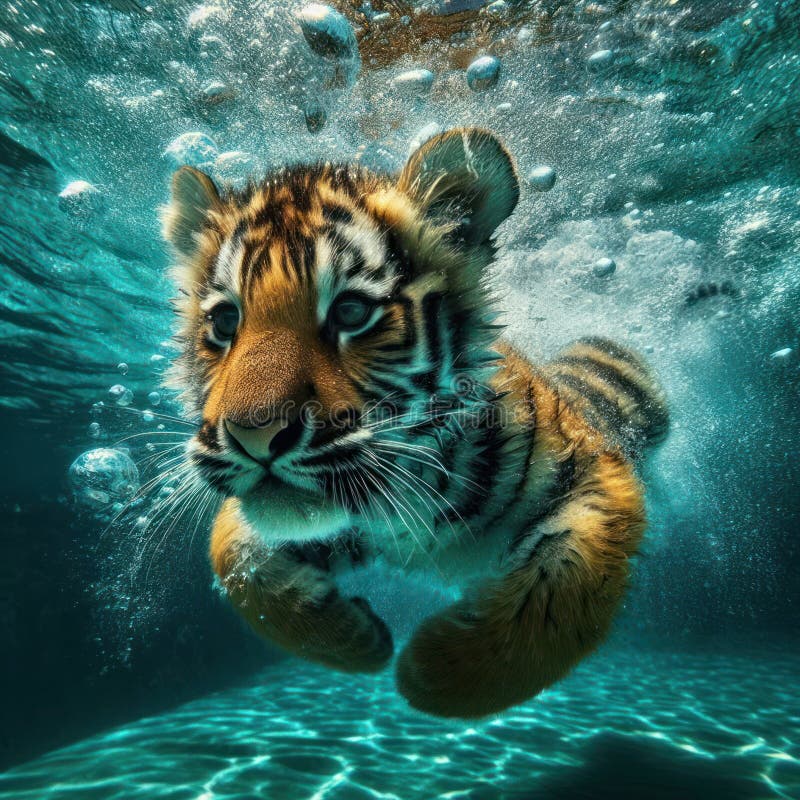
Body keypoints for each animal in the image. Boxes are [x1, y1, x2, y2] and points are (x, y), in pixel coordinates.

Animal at [161, 127, 668, 718]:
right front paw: (356, 640)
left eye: (351, 312)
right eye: (225, 321)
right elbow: (232, 555)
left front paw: (435, 672)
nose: (253, 435)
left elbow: (564, 588)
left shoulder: (598, 475)